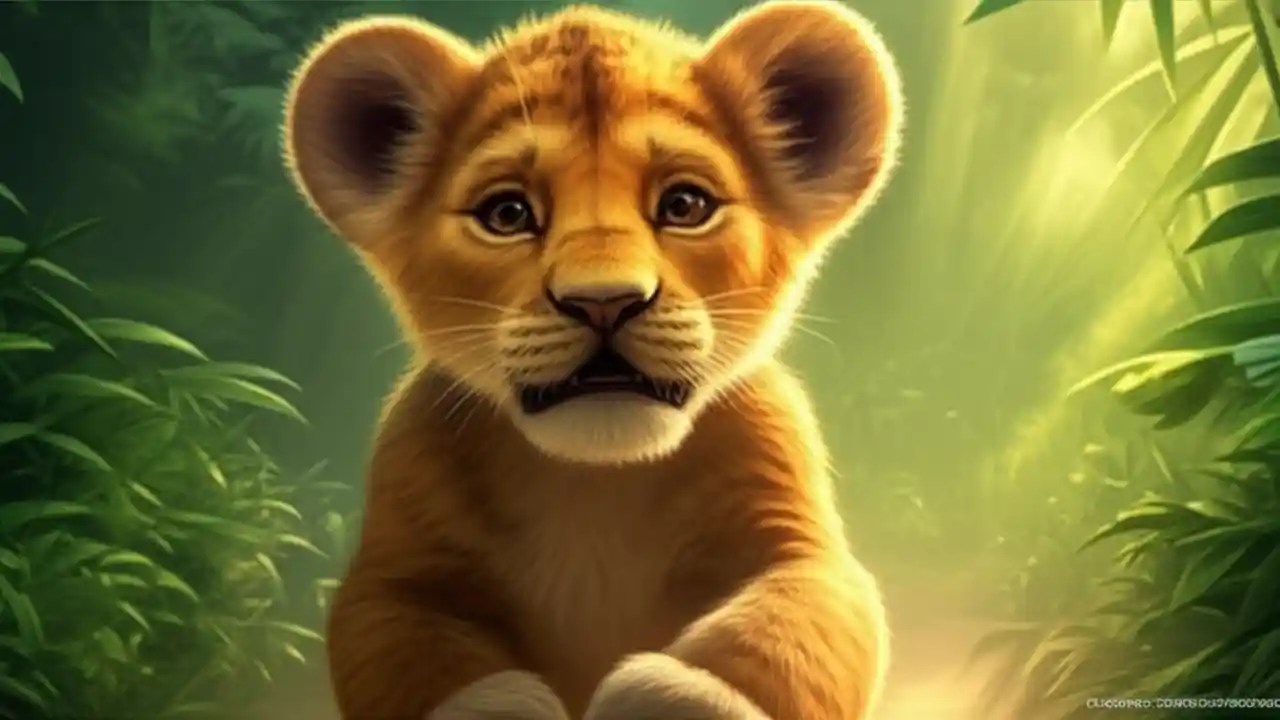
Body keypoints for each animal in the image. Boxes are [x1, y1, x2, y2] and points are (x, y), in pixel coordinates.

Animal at [282, 1, 903, 718]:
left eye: (684, 205)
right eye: (507, 213)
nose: (604, 302)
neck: (593, 485)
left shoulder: (795, 536)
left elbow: (795, 623)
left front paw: (672, 697)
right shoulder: (399, 563)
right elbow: (401, 644)